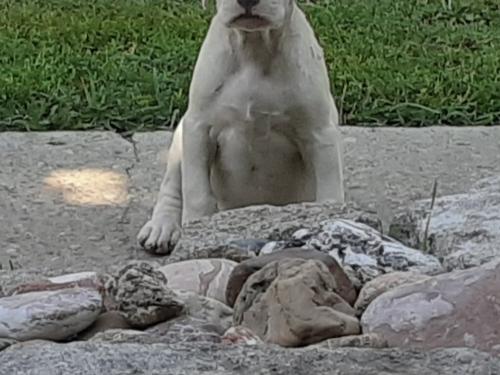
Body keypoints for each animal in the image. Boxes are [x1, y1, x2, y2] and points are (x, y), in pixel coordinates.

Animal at [139, 0, 346, 256]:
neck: (254, 47)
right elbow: (196, 195)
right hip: (181, 139)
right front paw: (196, 233)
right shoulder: (198, 129)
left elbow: (329, 196)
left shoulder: (319, 134)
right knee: (172, 186)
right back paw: (163, 227)